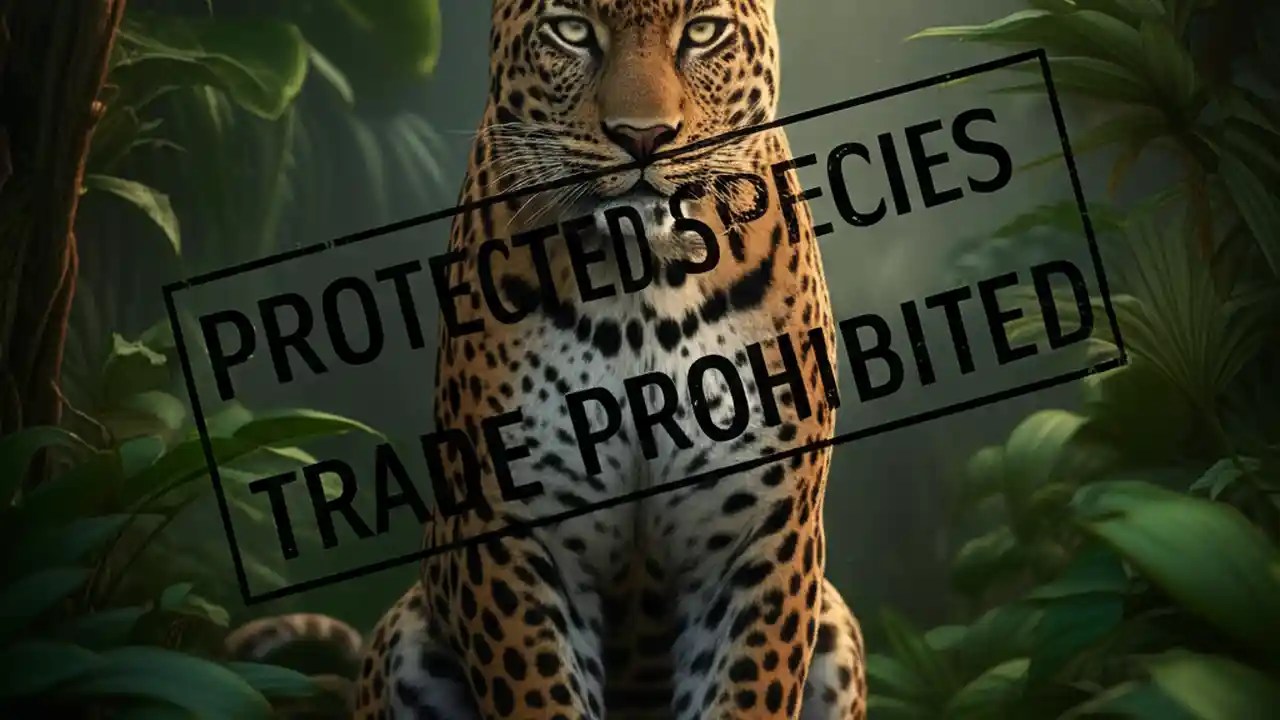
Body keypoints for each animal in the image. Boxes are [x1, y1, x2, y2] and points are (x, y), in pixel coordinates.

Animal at [230, 1, 867, 718]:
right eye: (573, 30)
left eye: (703, 32)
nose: (643, 137)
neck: (643, 281)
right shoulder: (508, 523)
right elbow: (537, 690)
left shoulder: (762, 530)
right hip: (406, 634)